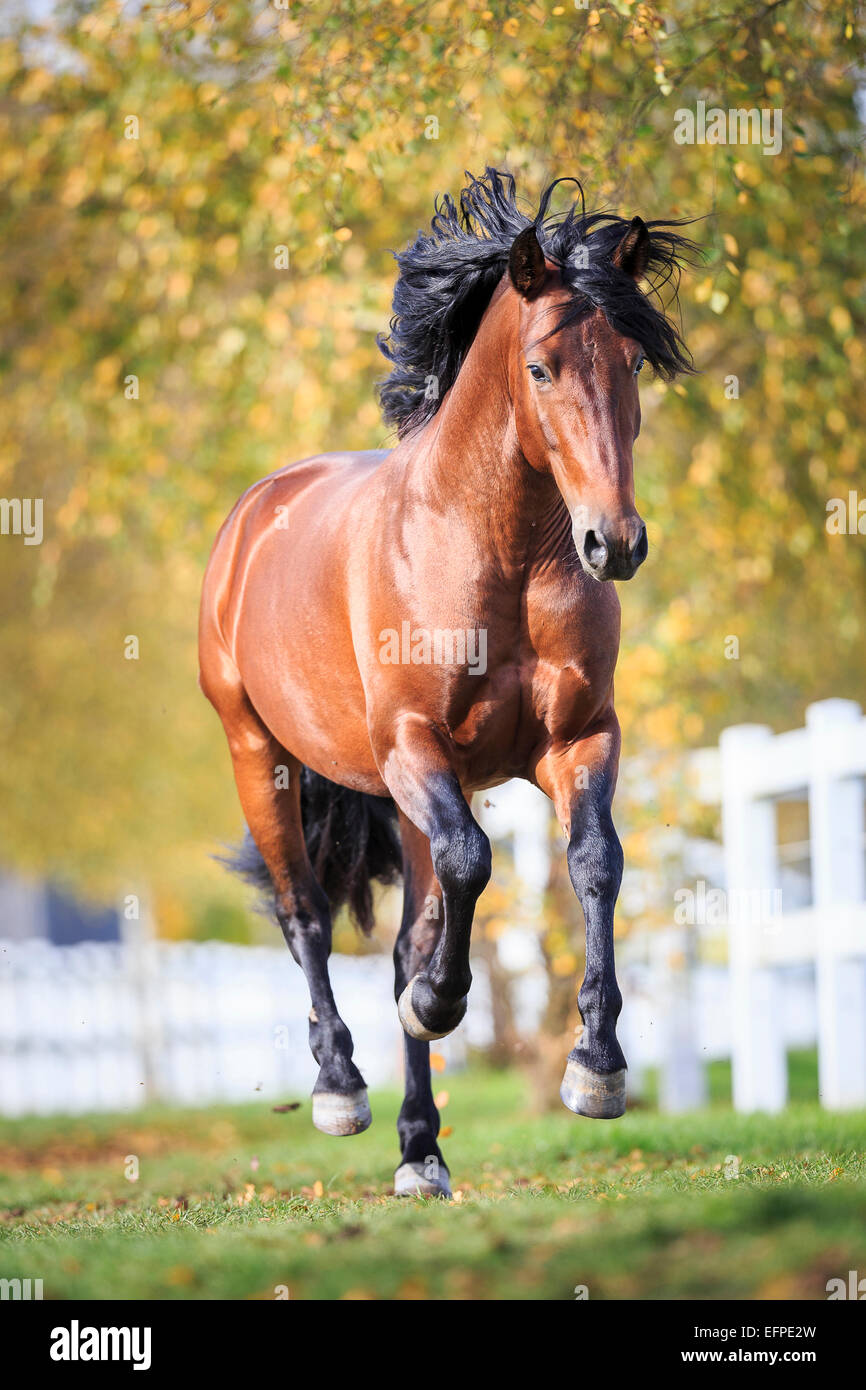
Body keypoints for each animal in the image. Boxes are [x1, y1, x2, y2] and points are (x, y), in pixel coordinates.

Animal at [199, 168, 696, 1196]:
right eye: (542, 368)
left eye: (632, 361)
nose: (615, 543)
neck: (496, 549)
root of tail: (254, 514)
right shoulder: (413, 747)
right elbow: (472, 866)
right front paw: (440, 1005)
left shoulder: (578, 739)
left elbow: (596, 863)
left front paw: (596, 1069)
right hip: (261, 753)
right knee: (307, 917)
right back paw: (341, 1090)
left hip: (405, 797)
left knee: (404, 939)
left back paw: (420, 1150)